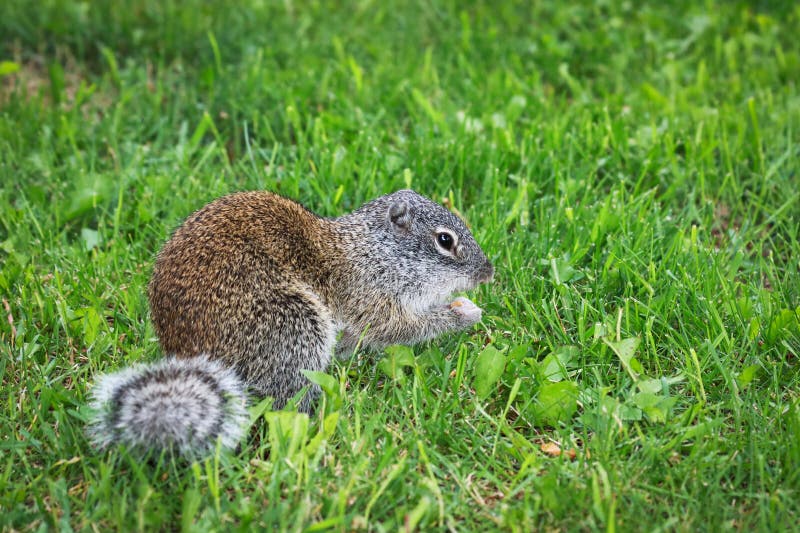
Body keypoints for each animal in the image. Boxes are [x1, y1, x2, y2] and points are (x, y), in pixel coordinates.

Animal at [88, 189, 494, 455]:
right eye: (445, 240)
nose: (489, 273)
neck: (374, 251)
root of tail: (189, 353)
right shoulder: (368, 298)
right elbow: (399, 328)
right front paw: (463, 313)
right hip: (295, 325)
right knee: (286, 400)